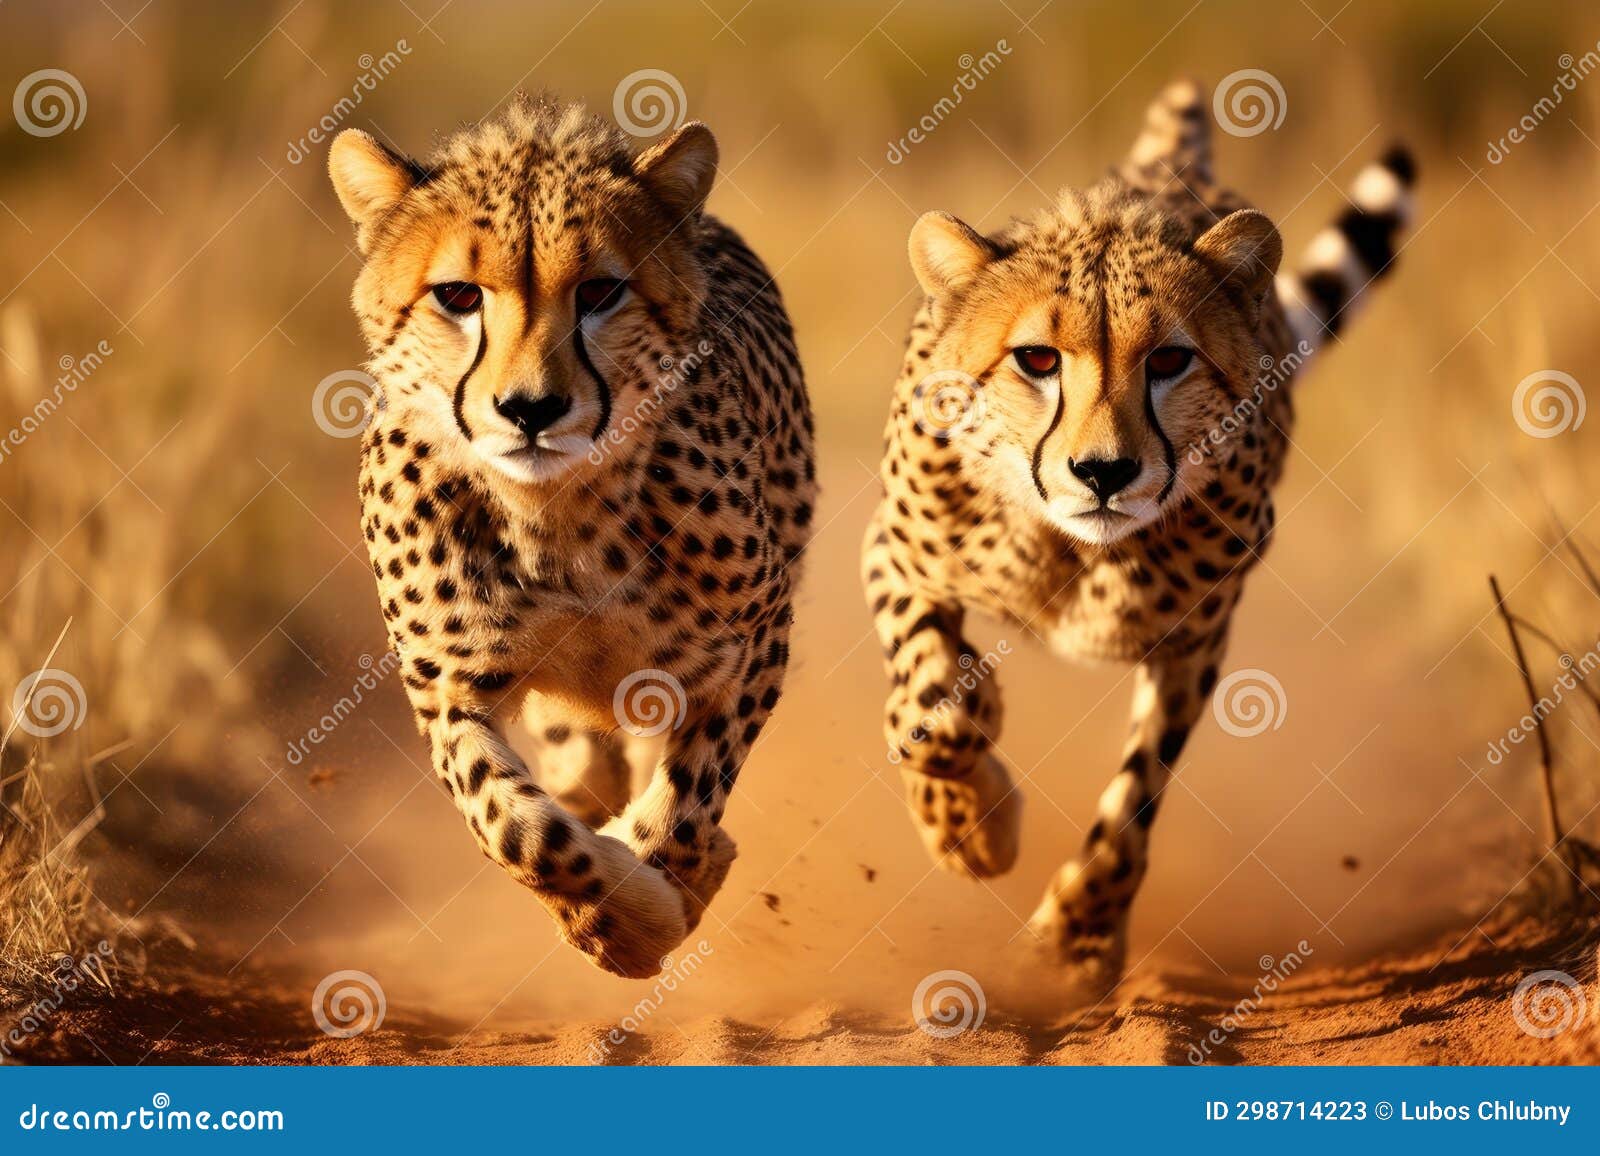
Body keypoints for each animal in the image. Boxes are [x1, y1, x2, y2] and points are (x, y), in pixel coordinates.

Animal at [329, 96, 815, 978]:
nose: (530, 409)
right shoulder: (446, 687)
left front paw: (662, 895)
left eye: (600, 292)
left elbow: (688, 798)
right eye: (458, 294)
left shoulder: (755, 640)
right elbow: (518, 827)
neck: (557, 516)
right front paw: (625, 922)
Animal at [862, 78, 1415, 999]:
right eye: (1037, 359)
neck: (1075, 551)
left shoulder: (1194, 641)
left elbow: (1135, 797)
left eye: (1168, 361)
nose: (1104, 472)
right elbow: (930, 703)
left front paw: (1076, 940)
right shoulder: (898, 554)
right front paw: (973, 823)